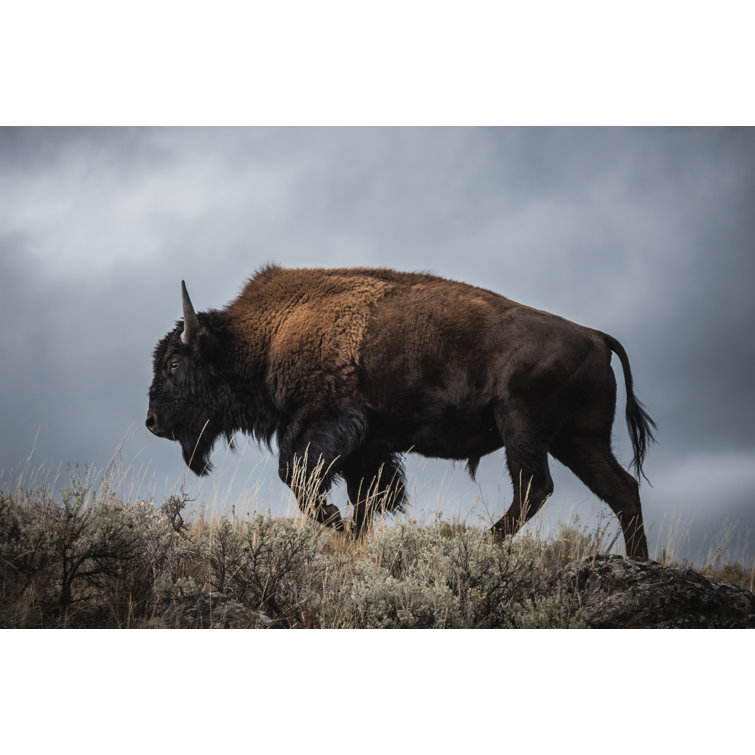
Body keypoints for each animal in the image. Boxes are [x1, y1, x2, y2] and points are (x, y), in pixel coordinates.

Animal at [147, 265, 655, 558]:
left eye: (174, 363)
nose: (152, 422)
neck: (269, 334)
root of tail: (596, 336)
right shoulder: (367, 448)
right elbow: (367, 497)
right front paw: (352, 538)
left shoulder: (326, 426)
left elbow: (299, 478)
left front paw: (335, 523)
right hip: (579, 439)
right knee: (621, 489)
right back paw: (638, 560)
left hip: (523, 429)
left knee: (536, 486)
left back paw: (482, 543)